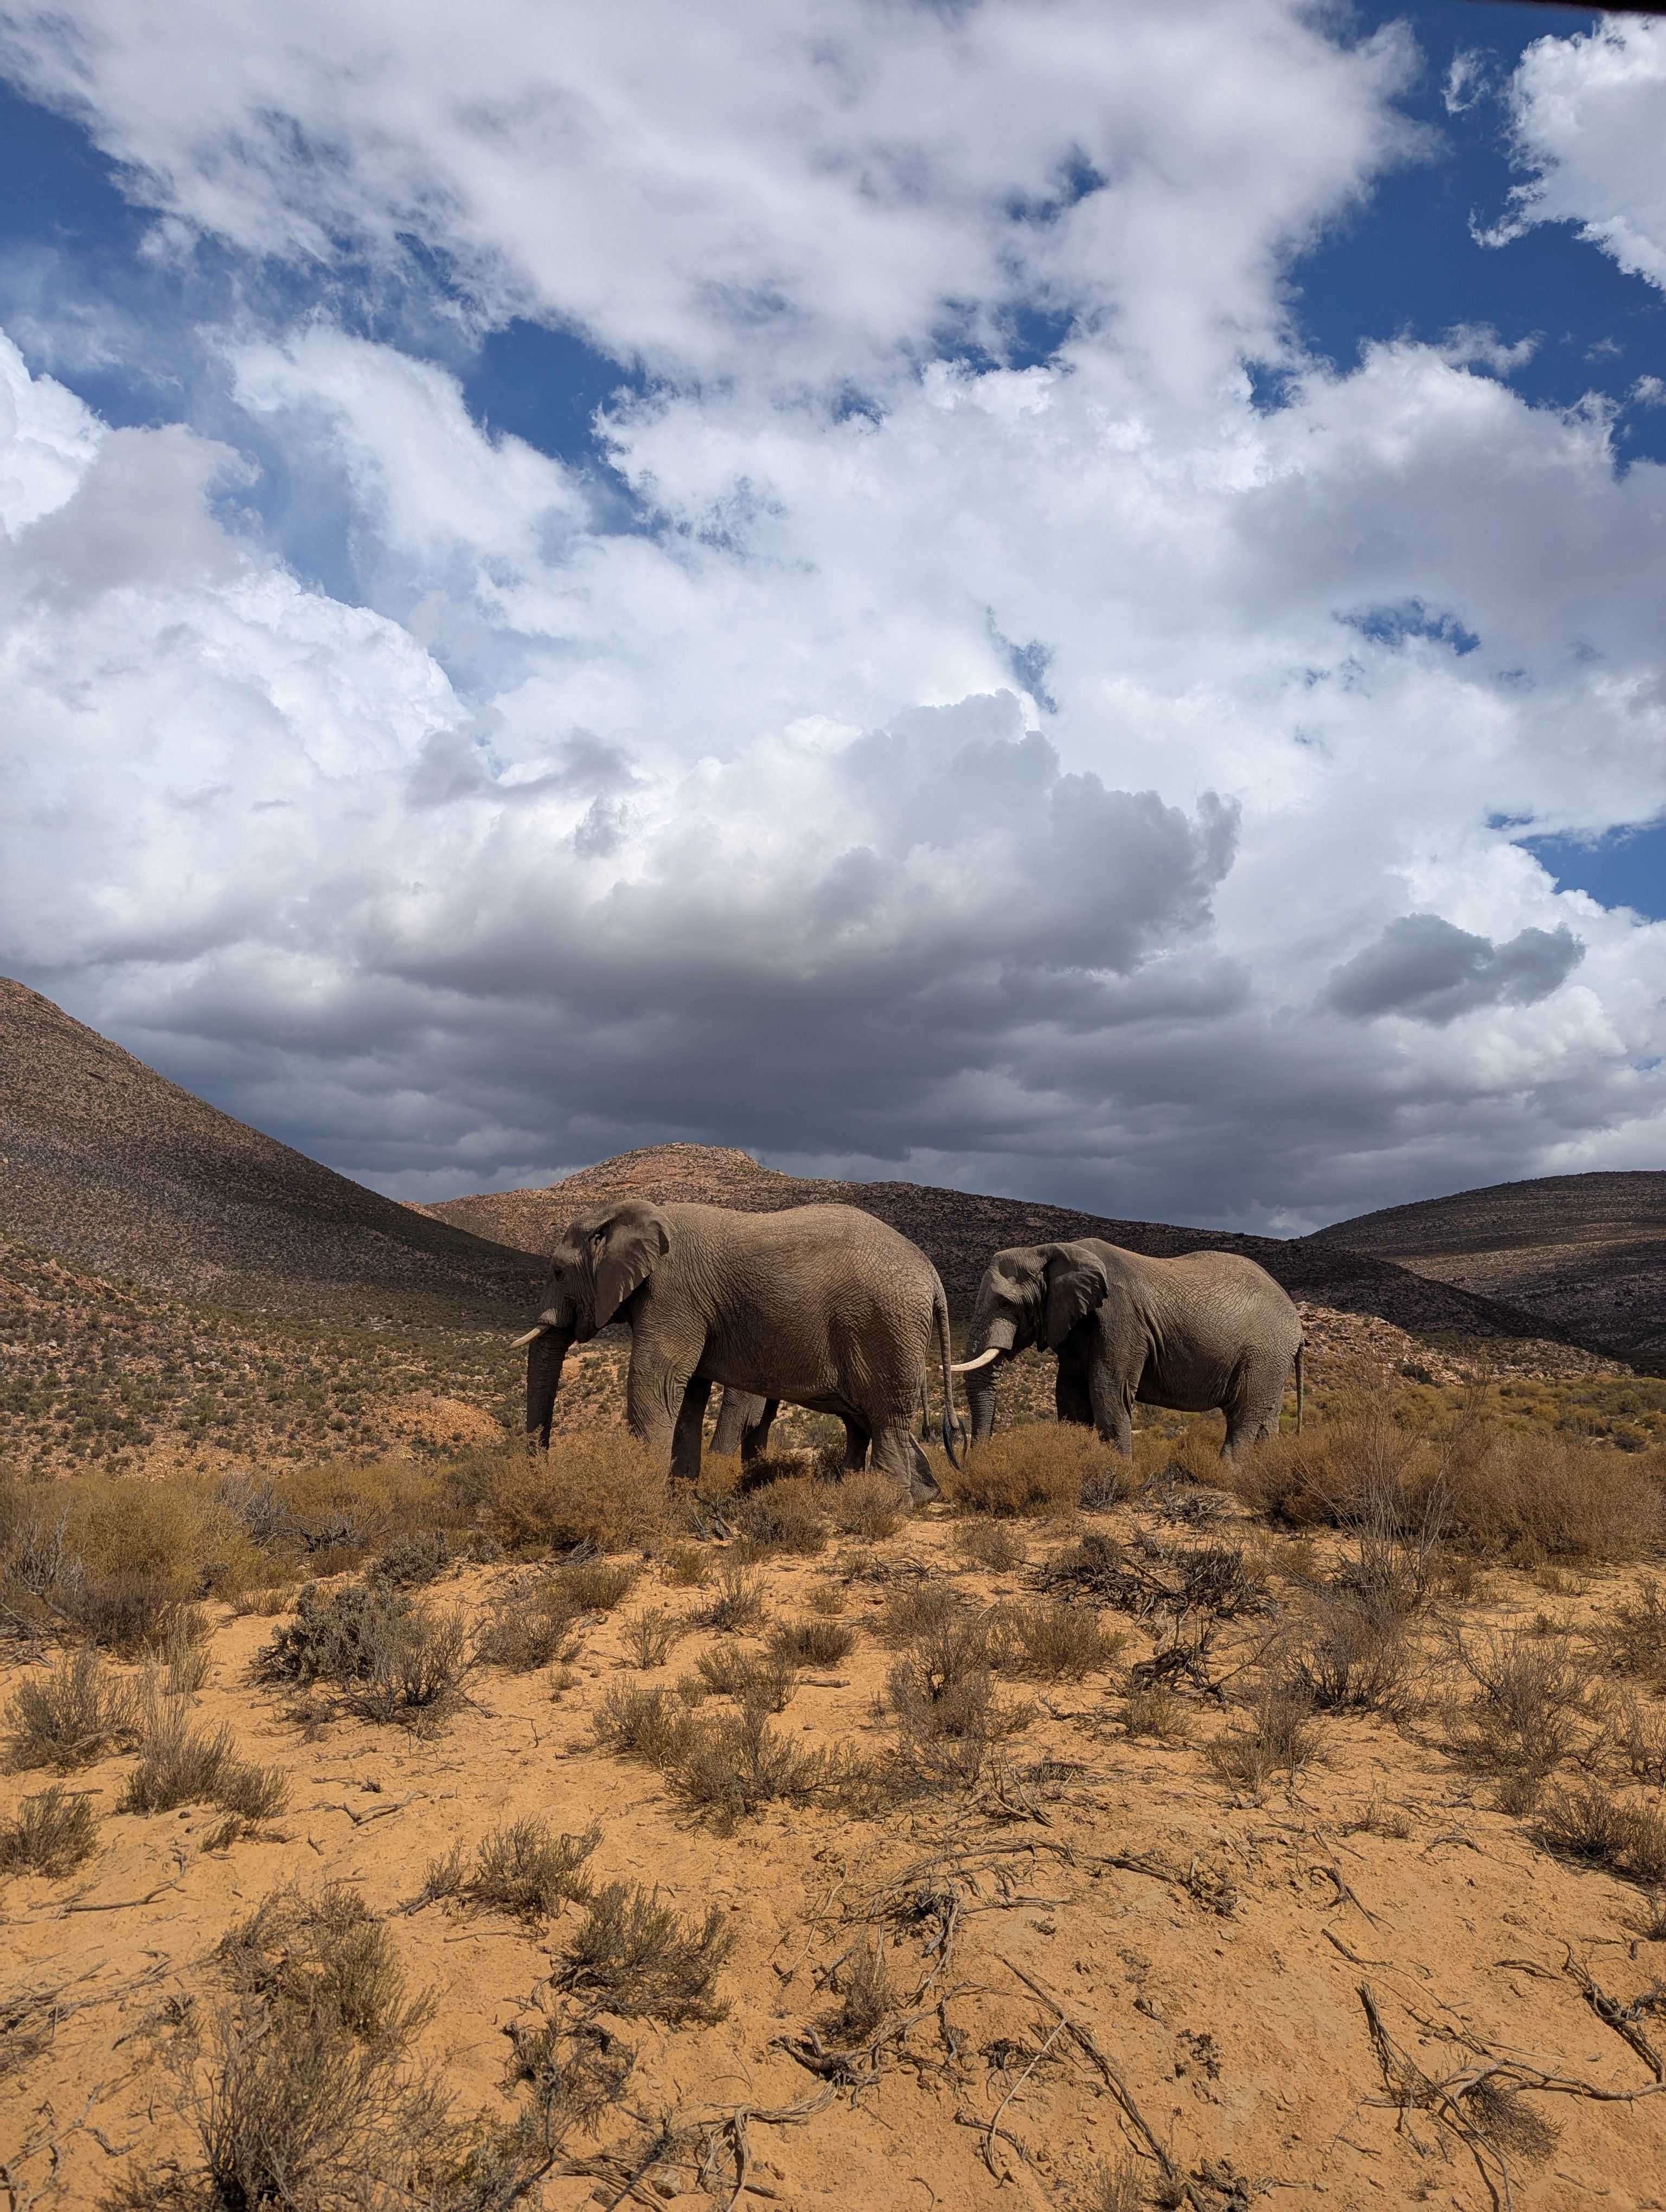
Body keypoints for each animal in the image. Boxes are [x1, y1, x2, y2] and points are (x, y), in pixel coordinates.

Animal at [514, 1199, 961, 1502]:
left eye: (557, 1272)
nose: (539, 1476)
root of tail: (932, 1274)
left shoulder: (672, 1296)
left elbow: (652, 1381)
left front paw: (640, 1497)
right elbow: (690, 1394)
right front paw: (683, 1496)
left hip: (884, 1327)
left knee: (885, 1416)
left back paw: (885, 1500)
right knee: (865, 1418)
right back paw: (919, 1496)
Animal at [951, 1239, 1303, 1459]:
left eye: (1004, 1303)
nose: (969, 1457)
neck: (1050, 1250)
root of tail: (1296, 1322)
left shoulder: (1121, 1319)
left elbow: (1107, 1391)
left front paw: (1117, 1475)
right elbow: (1070, 1394)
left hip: (1265, 1352)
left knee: (1244, 1412)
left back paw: (1227, 1475)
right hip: (1272, 1358)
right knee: (1266, 1417)